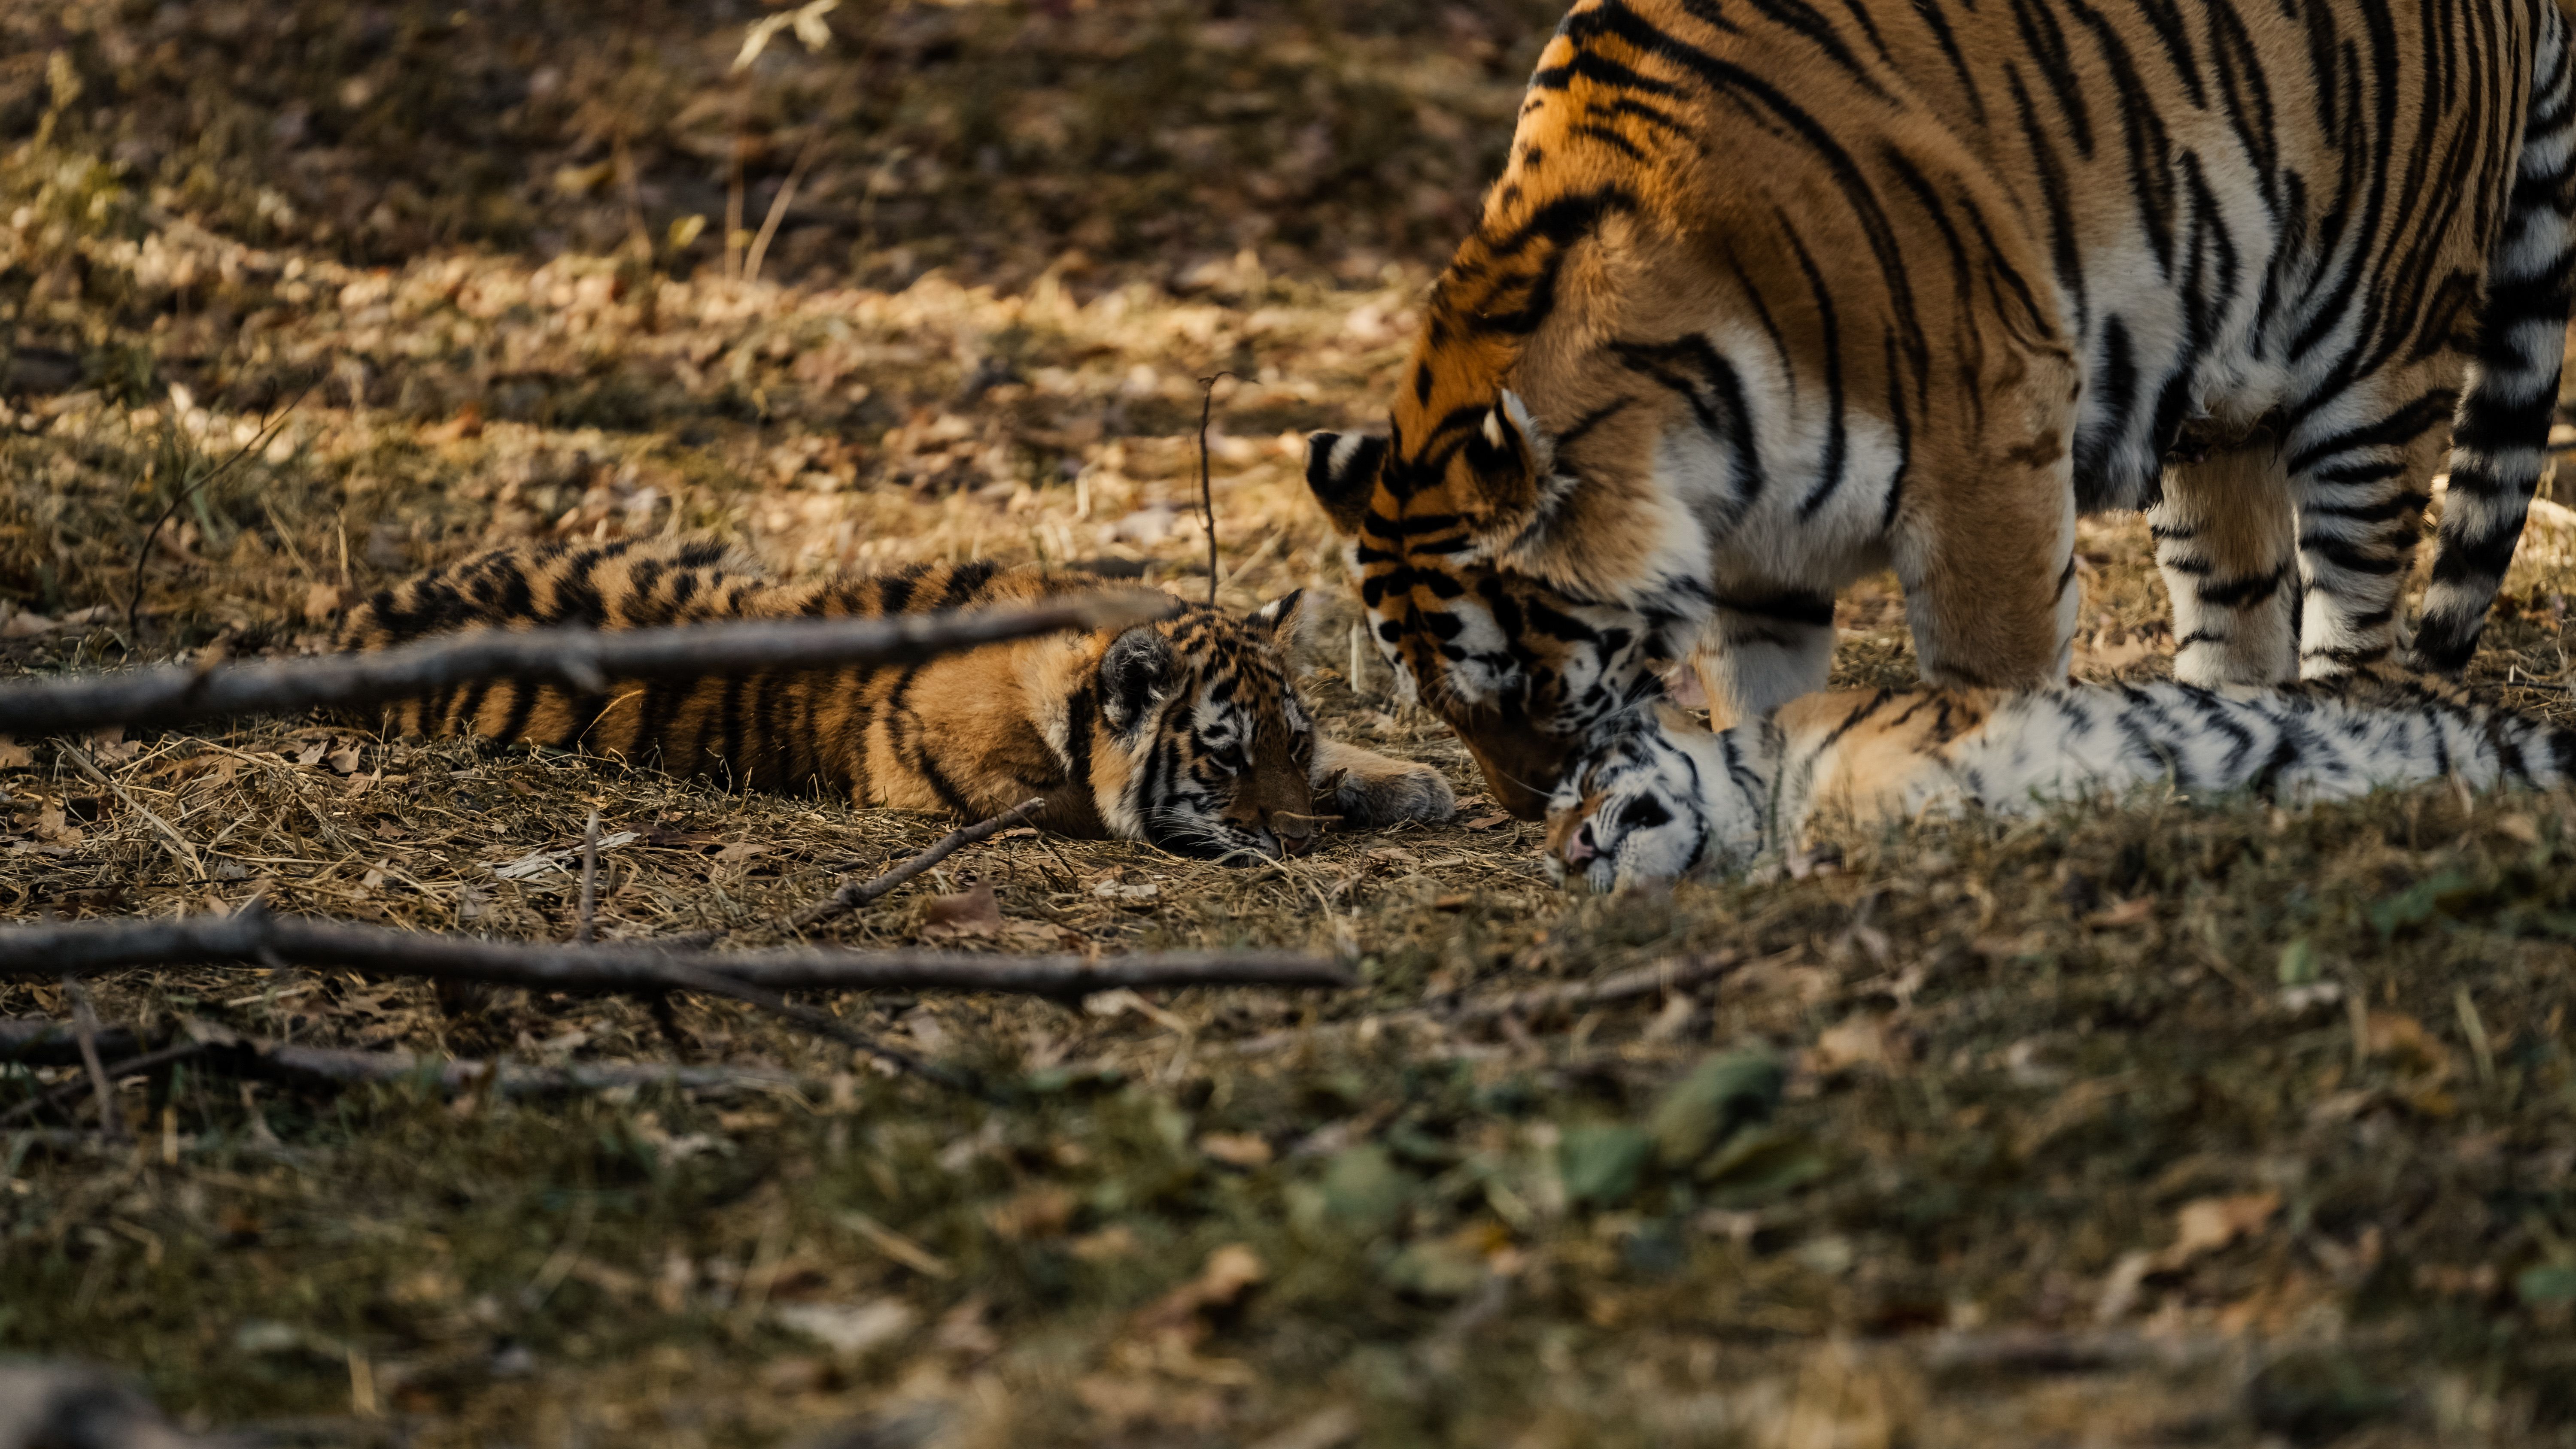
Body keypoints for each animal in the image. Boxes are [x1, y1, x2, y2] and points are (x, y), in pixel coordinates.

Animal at [1302, 0, 2576, 823]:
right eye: (1435, 706)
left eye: (1517, 683)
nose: (1528, 814)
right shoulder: (1754, 556)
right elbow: (1767, 703)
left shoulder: (1990, 456)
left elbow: (1986, 677)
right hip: (2219, 409)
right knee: (2239, 615)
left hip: (2381, 357)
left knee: (2357, 615)